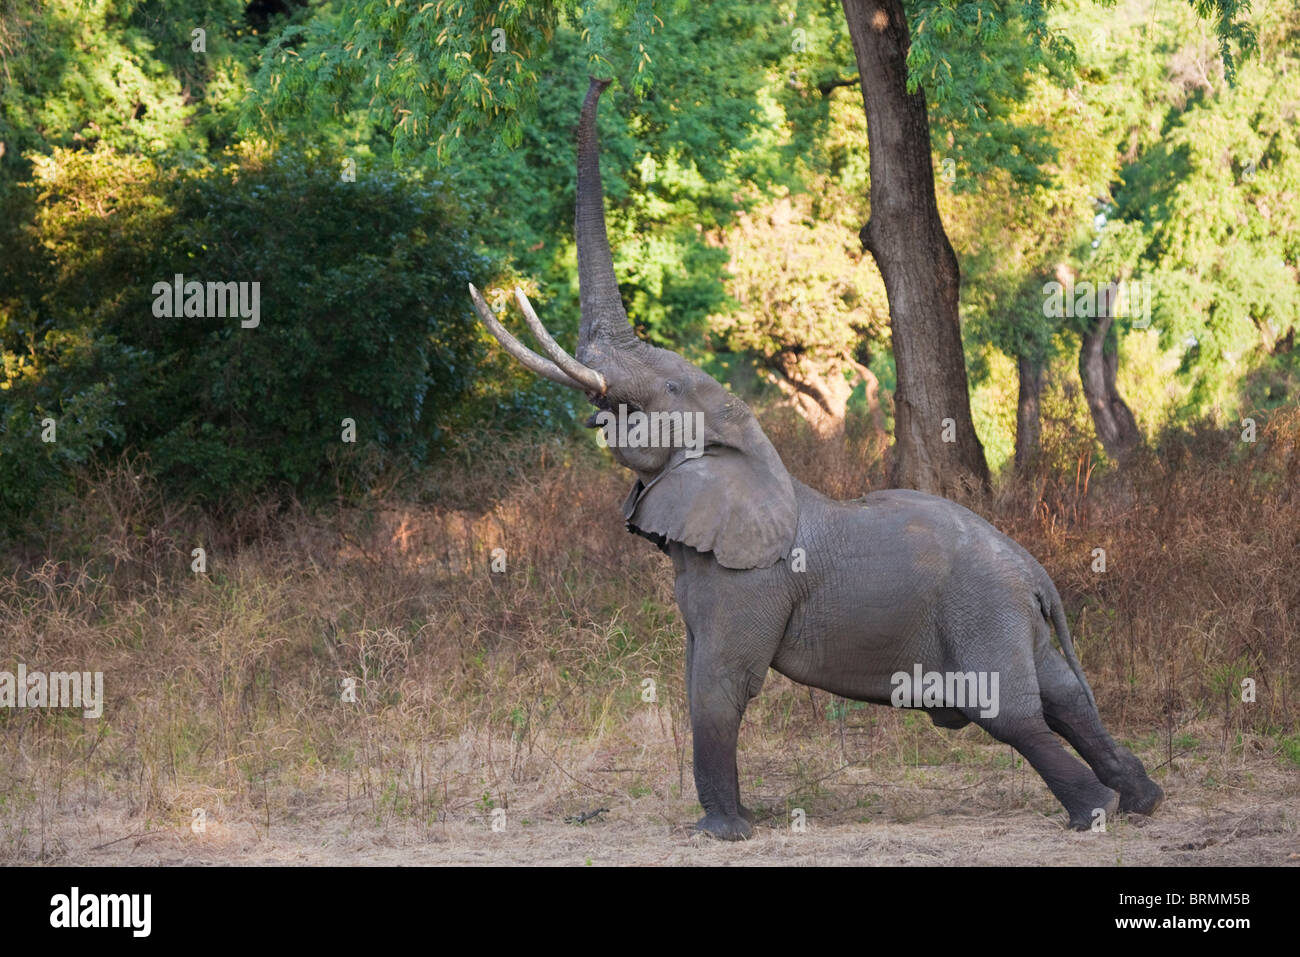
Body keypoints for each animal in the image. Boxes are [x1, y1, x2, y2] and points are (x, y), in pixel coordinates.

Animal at [468, 77, 1165, 840]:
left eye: (669, 391)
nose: (603, 80)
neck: (746, 443)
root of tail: (1038, 575)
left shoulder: (749, 578)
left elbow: (720, 680)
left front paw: (724, 832)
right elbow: (701, 670)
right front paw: (733, 822)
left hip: (983, 610)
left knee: (1012, 712)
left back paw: (1095, 812)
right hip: (1013, 616)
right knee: (1066, 697)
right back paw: (1141, 800)